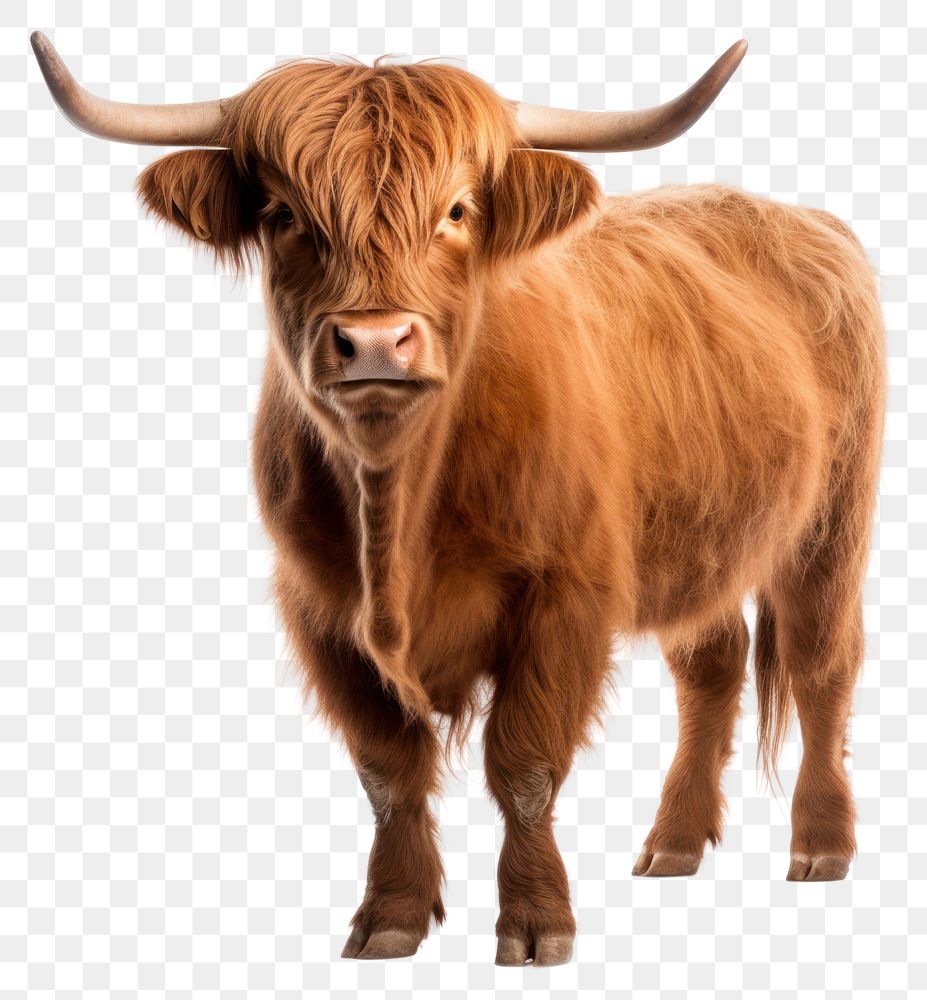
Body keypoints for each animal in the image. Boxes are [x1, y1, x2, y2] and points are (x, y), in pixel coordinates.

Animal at [32, 32, 885, 966]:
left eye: (457, 210)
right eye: (284, 213)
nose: (375, 340)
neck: (396, 504)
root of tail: (797, 218)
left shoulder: (563, 594)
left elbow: (525, 765)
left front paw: (537, 923)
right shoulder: (319, 608)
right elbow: (386, 769)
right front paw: (391, 916)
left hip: (830, 522)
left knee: (820, 662)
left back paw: (822, 844)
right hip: (700, 533)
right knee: (711, 662)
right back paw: (673, 844)